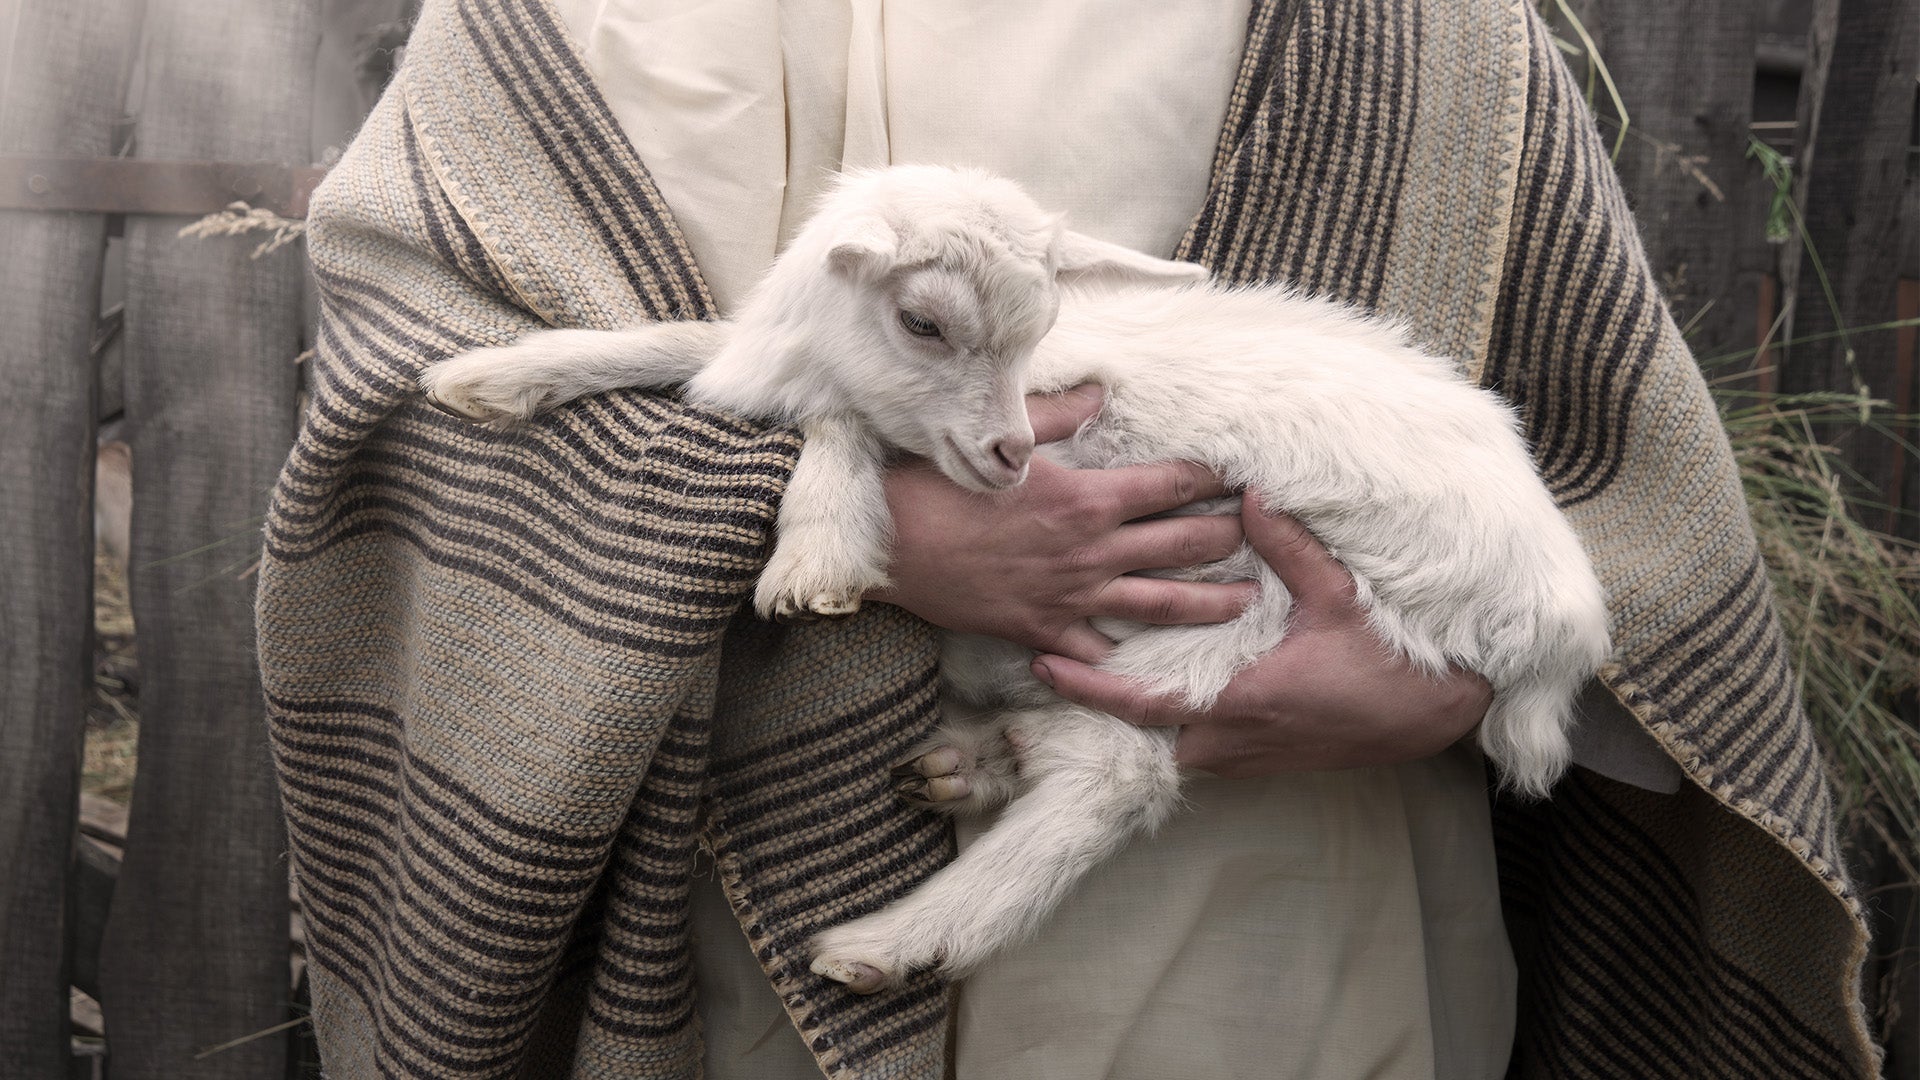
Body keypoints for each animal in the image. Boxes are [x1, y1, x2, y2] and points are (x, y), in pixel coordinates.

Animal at [419, 164, 1612, 996]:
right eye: (923, 321)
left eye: (1035, 330)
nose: (1011, 457)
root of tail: (1563, 629)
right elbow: (697, 340)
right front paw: (497, 376)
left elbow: (840, 422)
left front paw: (818, 548)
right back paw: (973, 767)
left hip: (1268, 608)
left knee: (1122, 773)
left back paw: (896, 938)